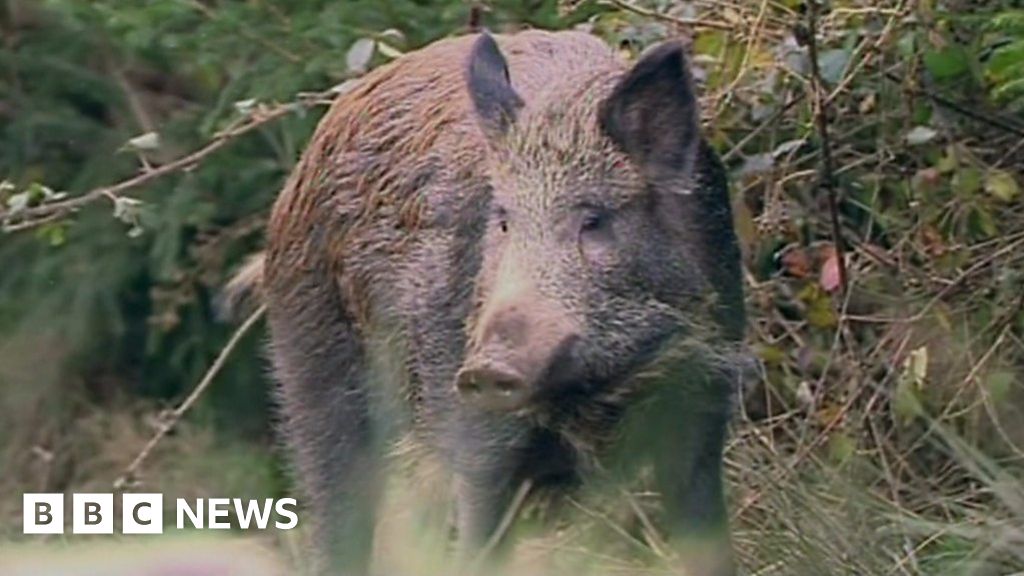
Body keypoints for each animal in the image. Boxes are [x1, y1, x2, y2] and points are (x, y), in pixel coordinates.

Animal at [259, 29, 747, 576]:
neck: (596, 396)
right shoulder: (480, 443)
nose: (486, 366)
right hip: (313, 371)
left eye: (594, 220)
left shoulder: (703, 410)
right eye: (505, 220)